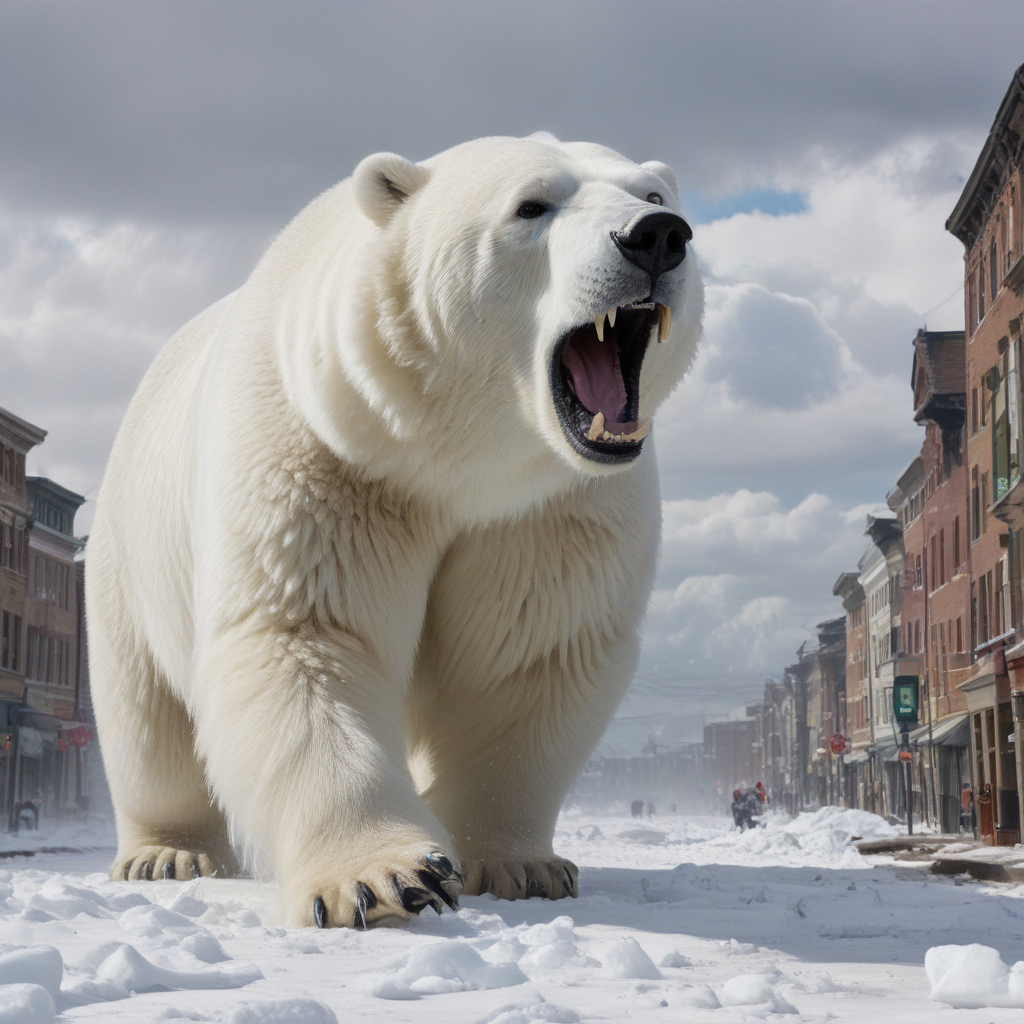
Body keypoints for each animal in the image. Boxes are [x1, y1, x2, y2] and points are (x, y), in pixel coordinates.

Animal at [85, 135, 703, 928]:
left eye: (655, 197)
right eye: (531, 205)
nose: (656, 238)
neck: (452, 461)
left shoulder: (553, 509)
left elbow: (527, 658)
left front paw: (518, 864)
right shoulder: (331, 457)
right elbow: (309, 635)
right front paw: (384, 879)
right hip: (128, 556)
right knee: (145, 719)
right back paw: (167, 853)